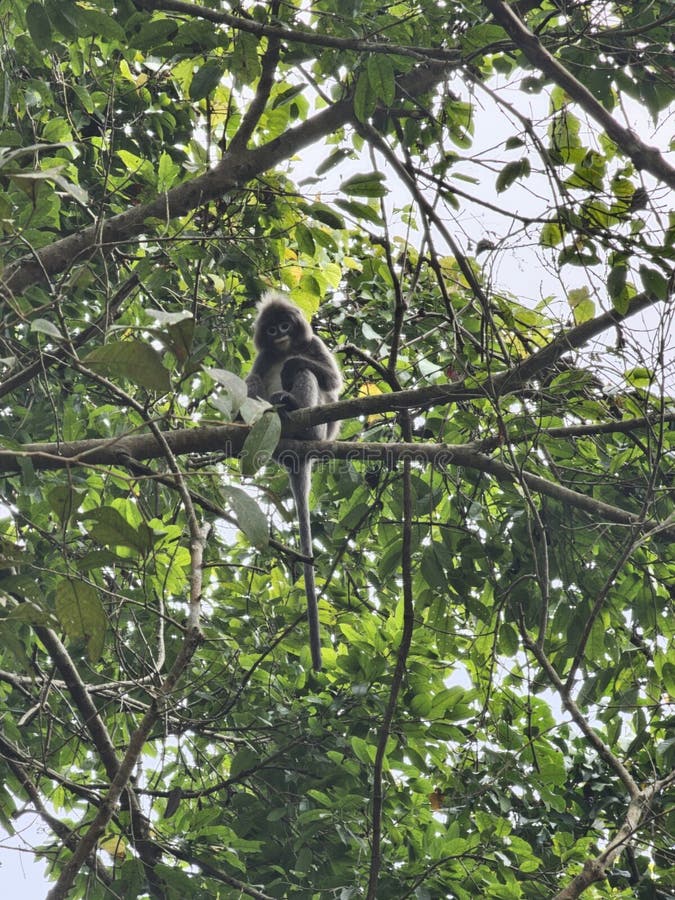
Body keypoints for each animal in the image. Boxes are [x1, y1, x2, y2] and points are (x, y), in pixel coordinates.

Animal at [246, 291, 342, 670]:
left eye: (286, 325)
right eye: (272, 330)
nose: (282, 334)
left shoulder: (312, 345)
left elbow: (331, 379)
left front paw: (291, 366)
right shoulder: (263, 356)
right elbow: (251, 381)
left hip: (323, 429)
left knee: (305, 373)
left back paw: (290, 405)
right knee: (257, 388)